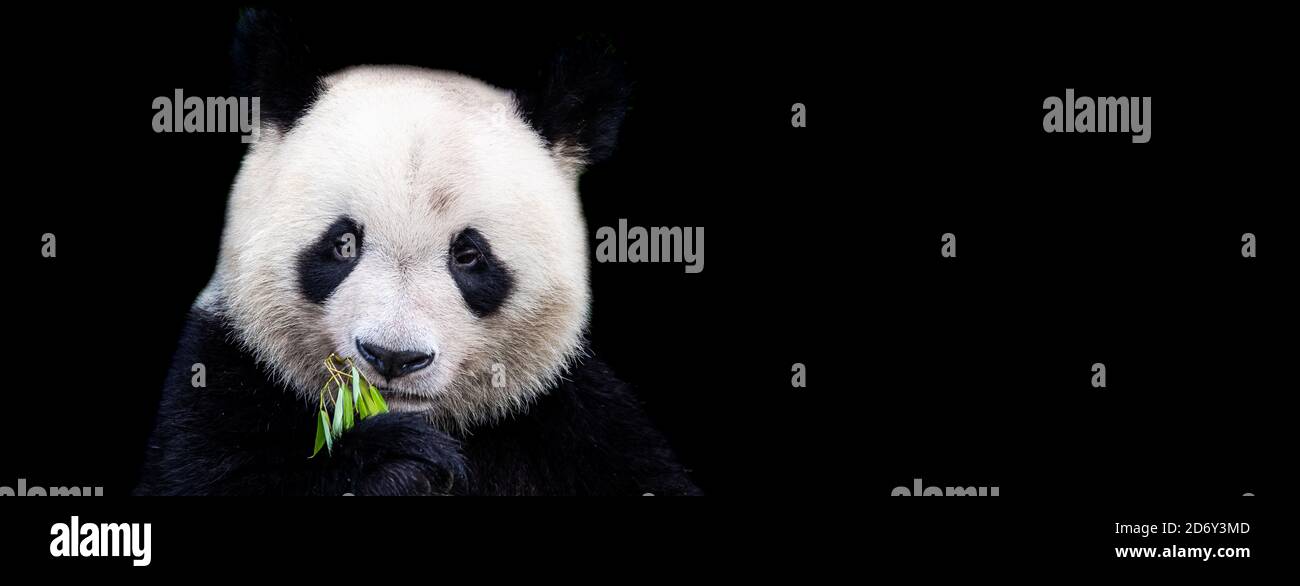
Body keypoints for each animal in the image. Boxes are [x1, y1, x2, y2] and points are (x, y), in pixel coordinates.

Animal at [135, 11, 700, 496]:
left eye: (469, 256)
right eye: (343, 243)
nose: (393, 357)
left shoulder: (573, 423)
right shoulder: (221, 378)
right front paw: (394, 462)